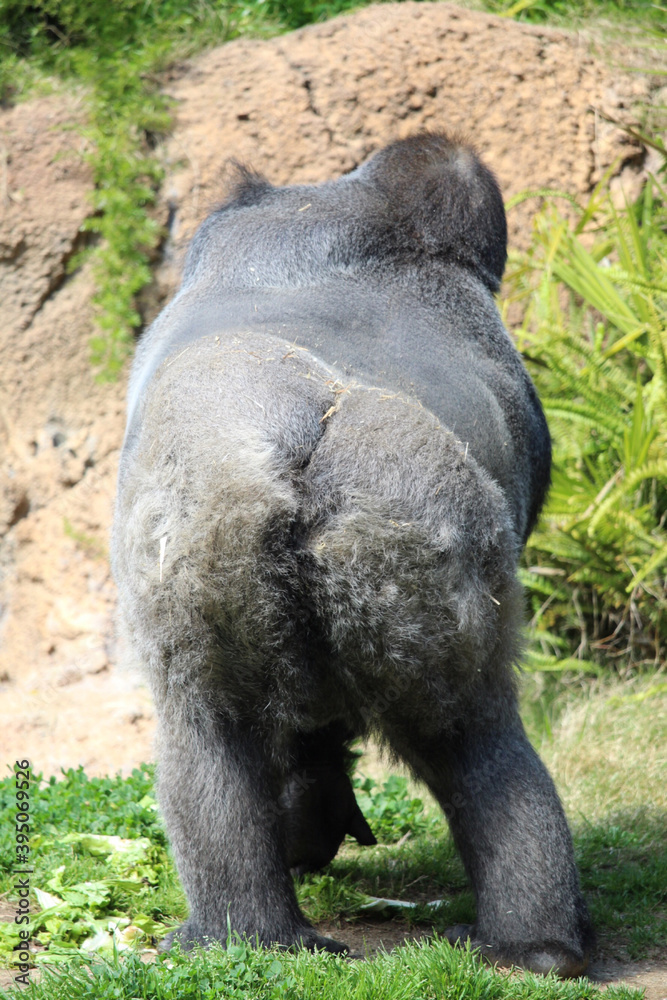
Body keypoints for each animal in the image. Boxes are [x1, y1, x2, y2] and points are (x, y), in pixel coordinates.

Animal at [111, 131, 594, 976]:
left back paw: (241, 934)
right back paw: (532, 945)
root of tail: (302, 430)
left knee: (207, 731)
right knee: (473, 736)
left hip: (221, 517)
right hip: (408, 508)